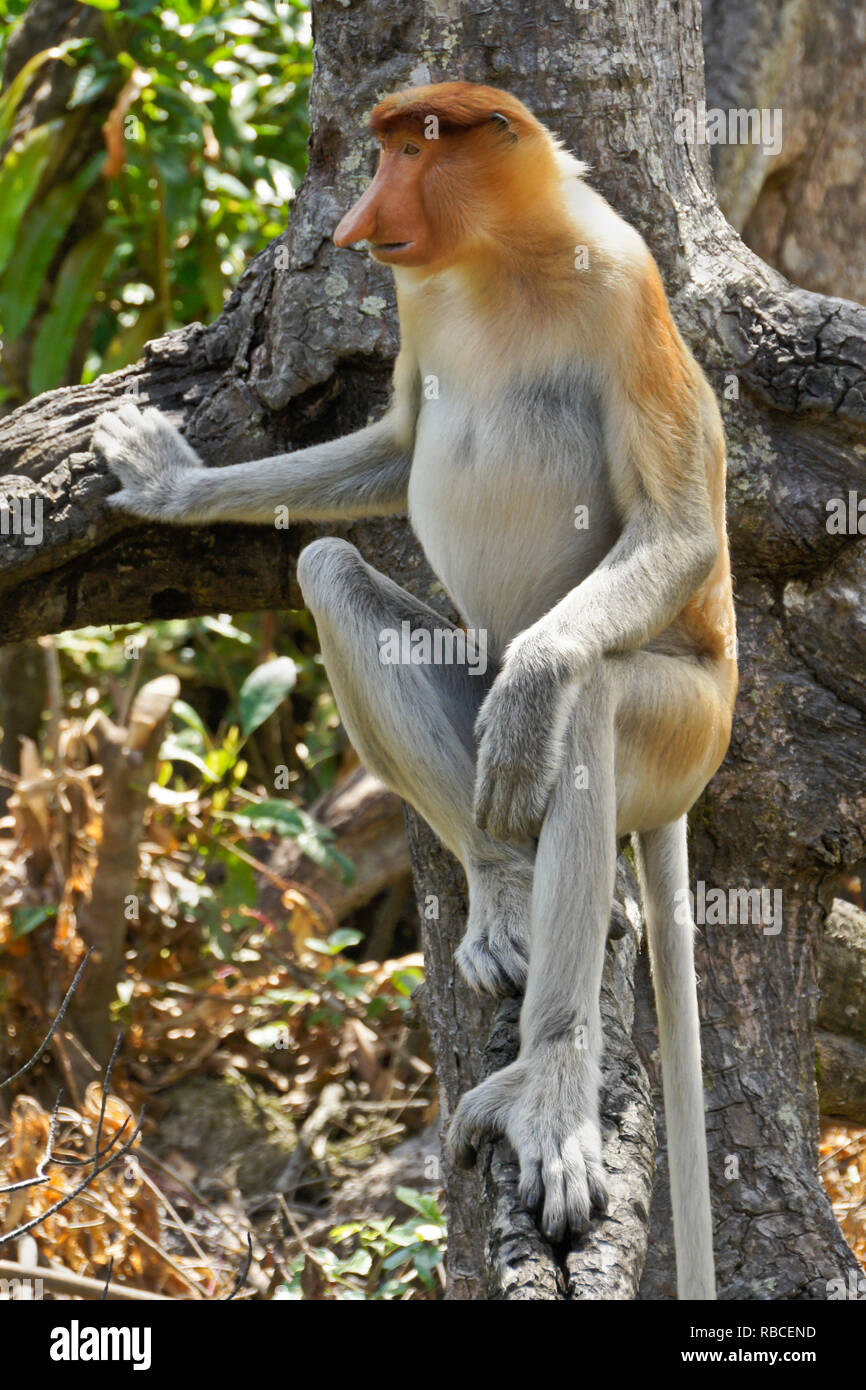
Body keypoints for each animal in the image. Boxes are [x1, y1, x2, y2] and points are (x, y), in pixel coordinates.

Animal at [93, 81, 737, 1300]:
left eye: (411, 150)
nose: (360, 220)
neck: (498, 257)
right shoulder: (417, 302)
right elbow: (397, 447)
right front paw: (171, 484)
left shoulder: (626, 284)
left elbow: (676, 532)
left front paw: (541, 680)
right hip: (467, 677)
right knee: (330, 573)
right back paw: (498, 894)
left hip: (691, 735)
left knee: (592, 703)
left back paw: (549, 1092)